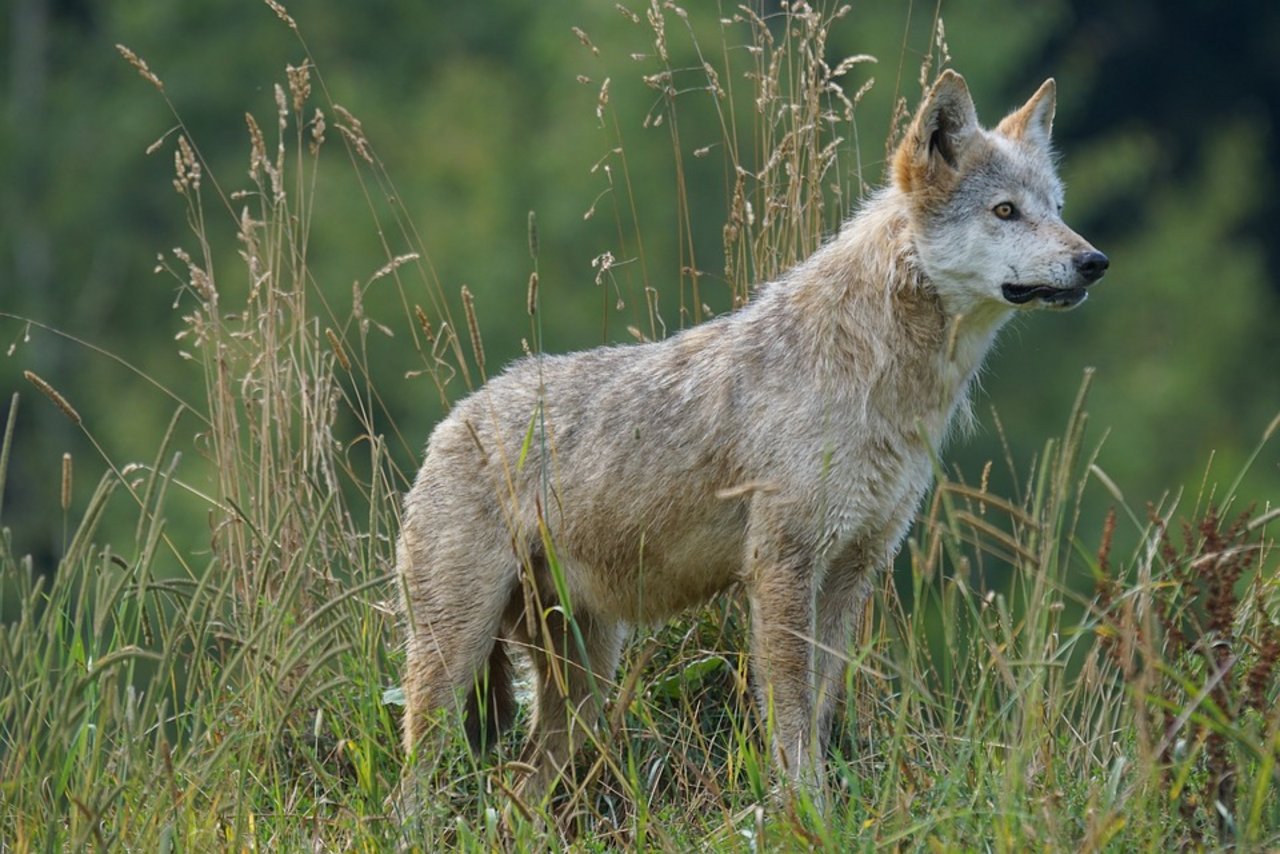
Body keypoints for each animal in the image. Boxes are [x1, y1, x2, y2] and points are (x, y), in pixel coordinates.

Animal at [395, 70, 1107, 805]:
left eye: (1056, 208)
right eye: (1005, 211)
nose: (1094, 261)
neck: (881, 380)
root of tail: (452, 422)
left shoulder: (853, 569)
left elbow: (818, 709)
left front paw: (817, 809)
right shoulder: (782, 567)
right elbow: (790, 720)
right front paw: (805, 811)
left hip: (584, 678)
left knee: (521, 788)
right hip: (459, 658)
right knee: (412, 782)